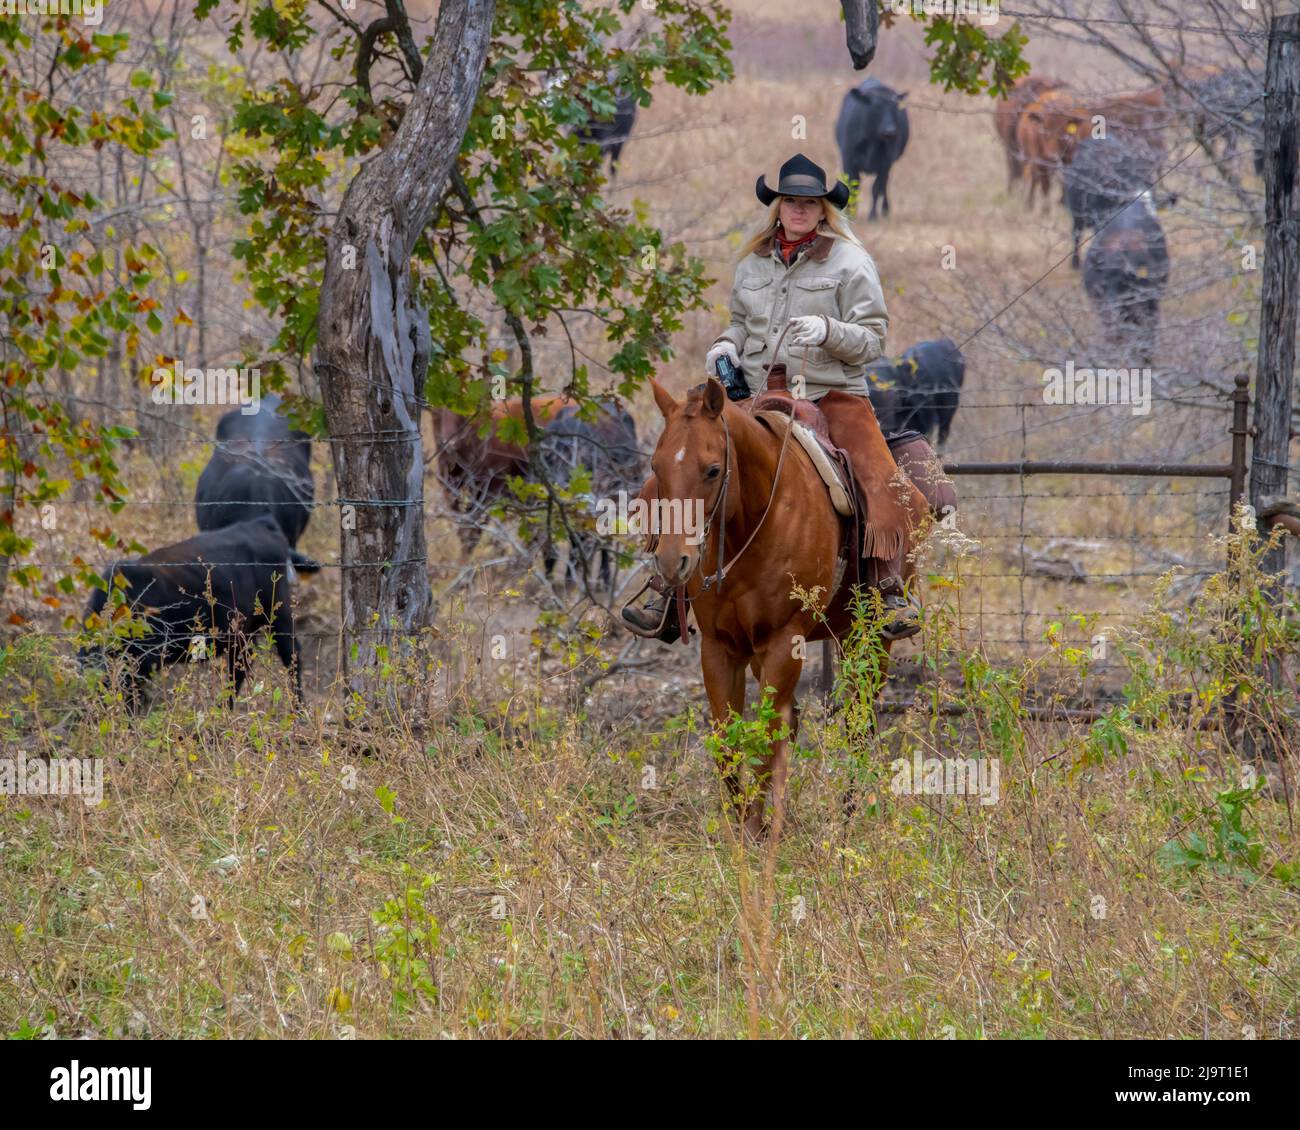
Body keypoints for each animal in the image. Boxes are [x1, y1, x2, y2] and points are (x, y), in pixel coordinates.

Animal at [79, 514, 315, 708]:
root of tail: (260, 524)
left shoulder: (146, 659)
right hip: (242, 632)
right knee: (240, 665)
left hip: (279, 615)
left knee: (291, 656)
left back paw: (299, 711)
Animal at [835, 77, 910, 221]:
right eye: (876, 107)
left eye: (895, 107)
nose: (890, 131)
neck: (872, 142)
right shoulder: (848, 160)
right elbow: (853, 186)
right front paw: (850, 214)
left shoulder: (885, 164)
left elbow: (876, 188)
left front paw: (873, 215)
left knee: (884, 186)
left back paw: (885, 210)